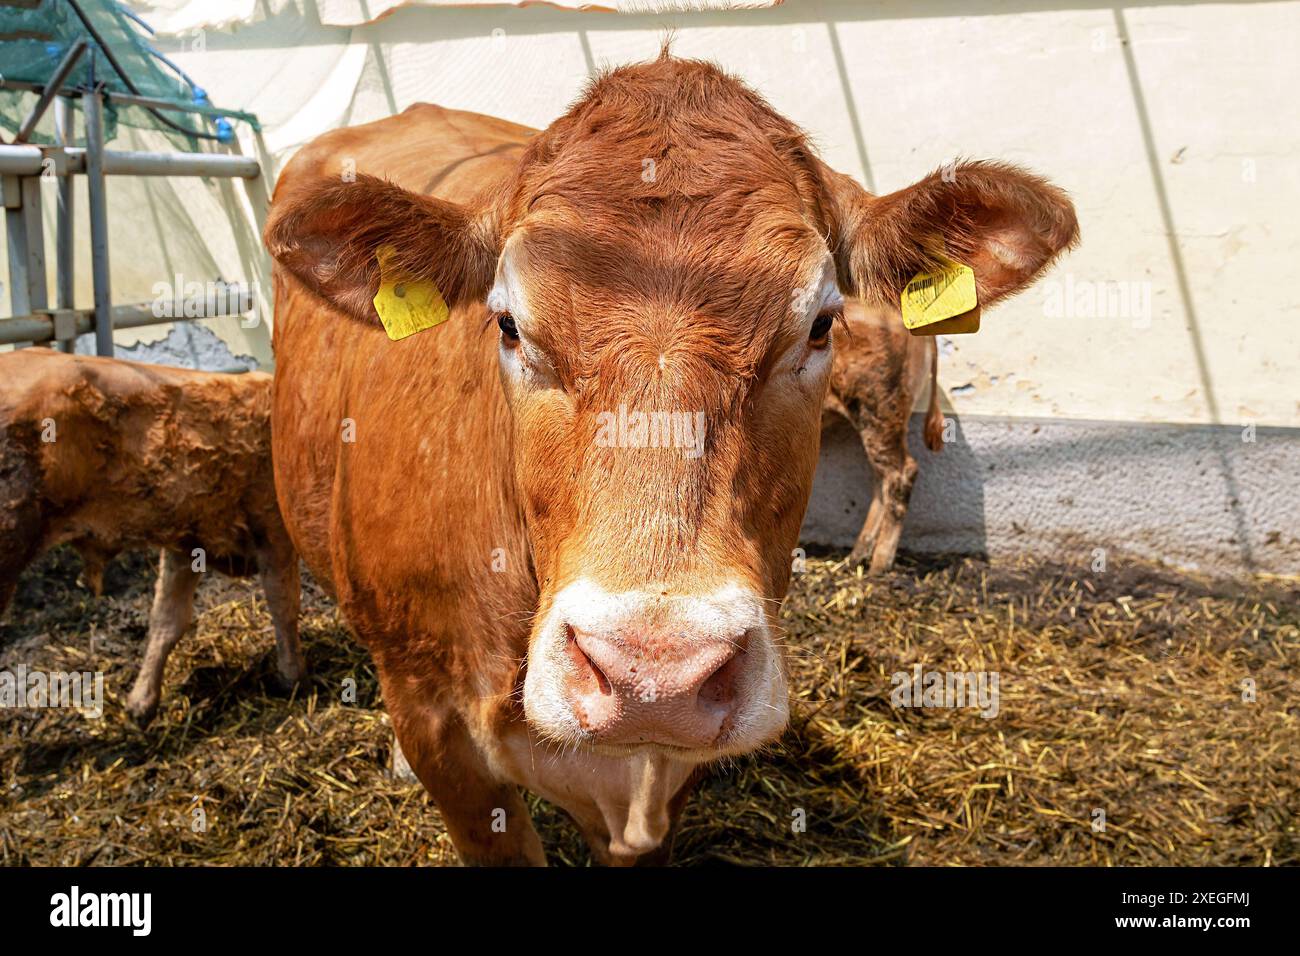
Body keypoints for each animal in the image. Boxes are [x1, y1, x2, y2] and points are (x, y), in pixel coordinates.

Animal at [0, 350, 304, 725]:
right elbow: (284, 601)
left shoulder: (188, 543)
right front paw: (292, 678)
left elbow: (167, 620)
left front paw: (140, 705)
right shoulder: (273, 527)